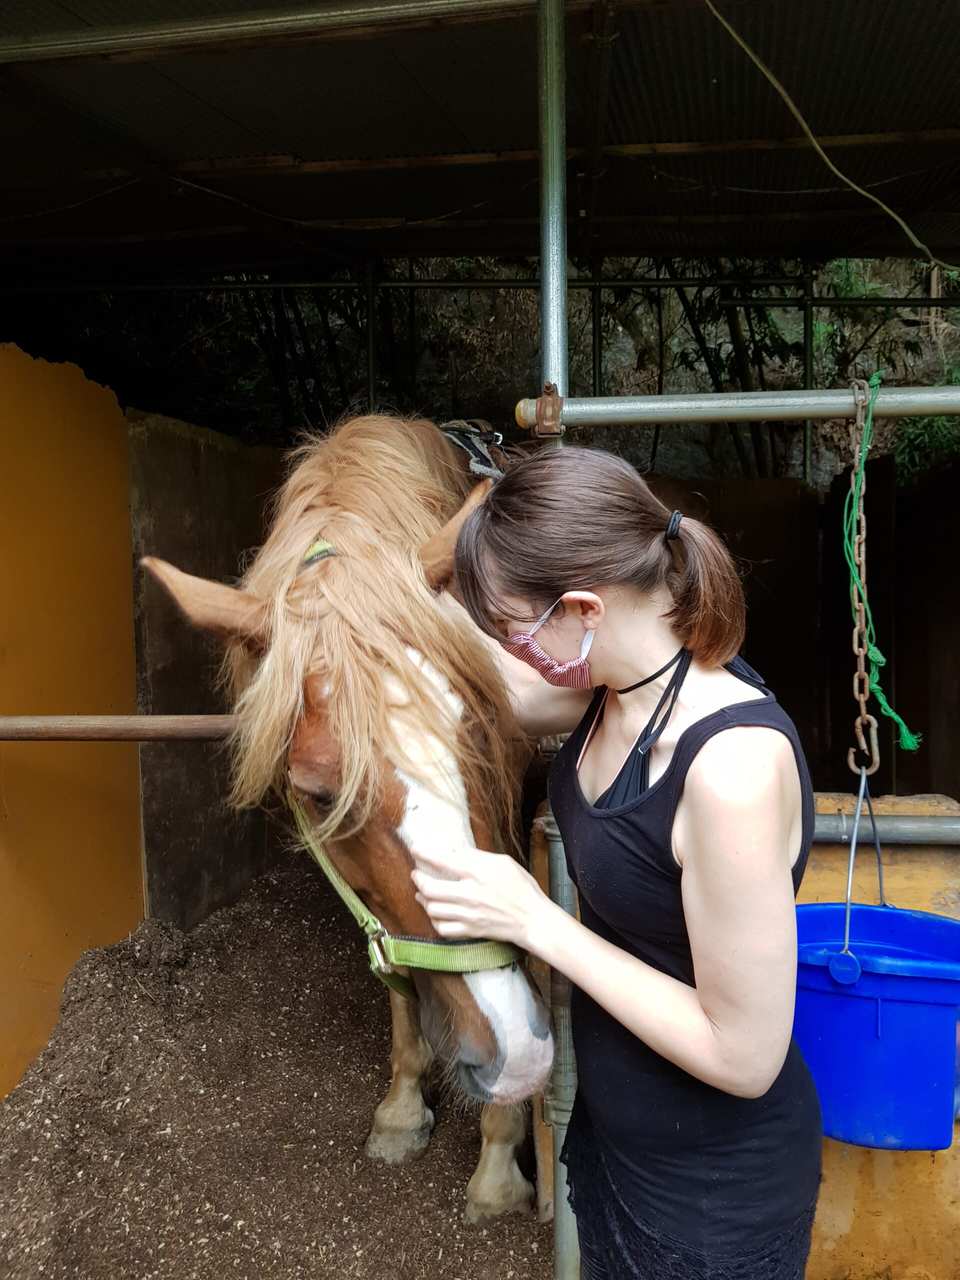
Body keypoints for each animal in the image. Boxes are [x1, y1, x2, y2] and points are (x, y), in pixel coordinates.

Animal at [142, 413, 554, 1222]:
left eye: (477, 730)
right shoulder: (362, 882)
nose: (517, 1049)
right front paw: (401, 1107)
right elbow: (394, 972)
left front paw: (498, 1160)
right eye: (320, 792)